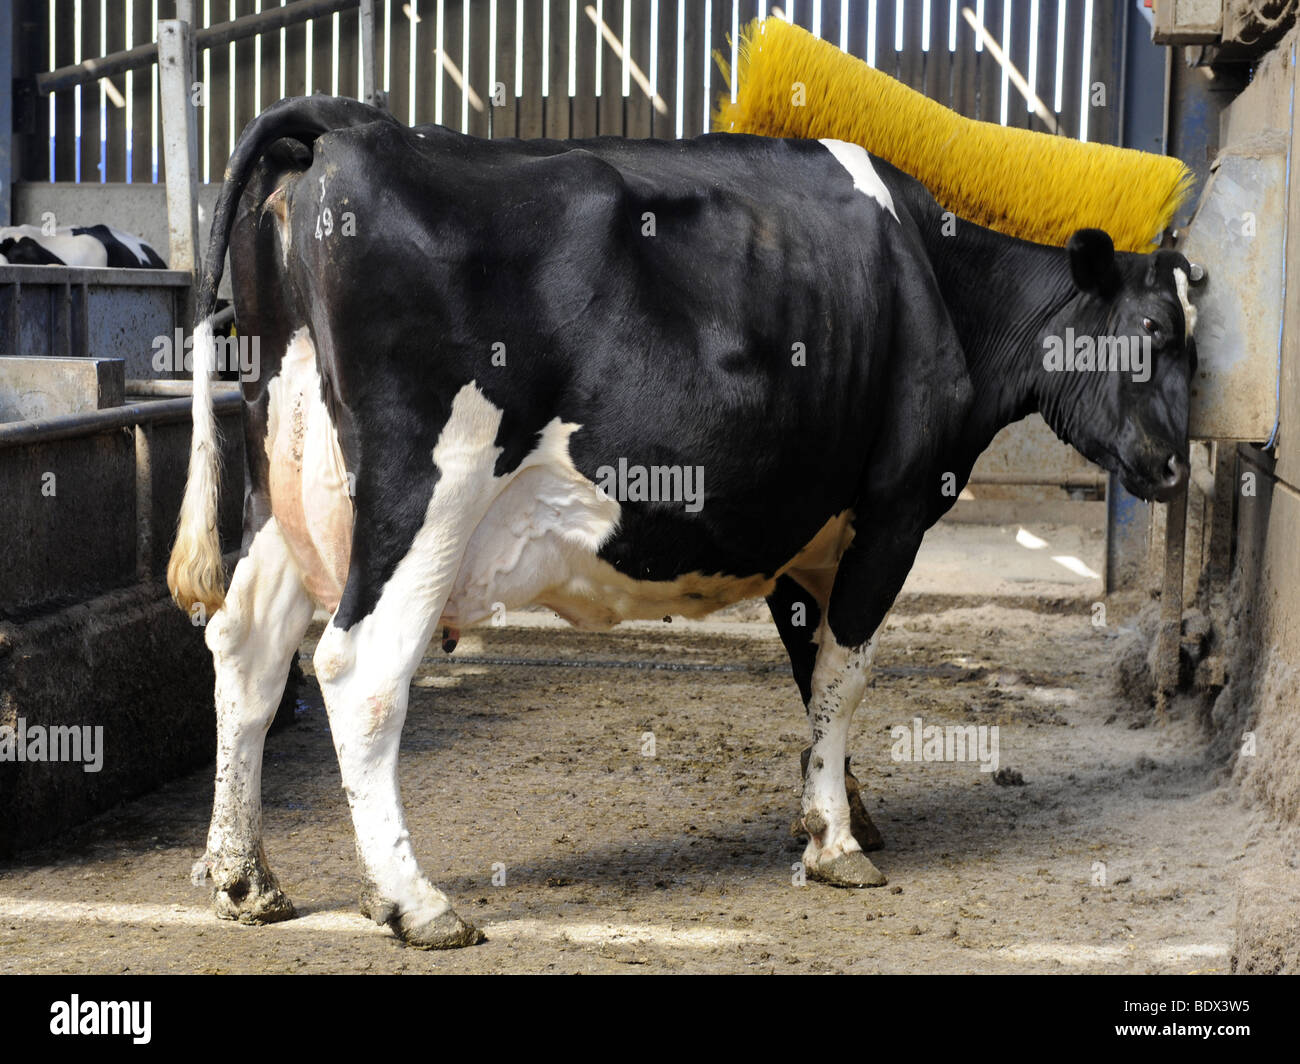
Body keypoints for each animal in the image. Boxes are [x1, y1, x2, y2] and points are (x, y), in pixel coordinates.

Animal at [168, 96, 1198, 949]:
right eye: (1154, 332)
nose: (1176, 465)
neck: (939, 278)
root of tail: (347, 126)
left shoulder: (801, 533)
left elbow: (814, 678)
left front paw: (838, 810)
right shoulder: (893, 510)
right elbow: (847, 674)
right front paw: (837, 842)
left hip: (280, 476)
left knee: (247, 648)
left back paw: (243, 877)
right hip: (427, 493)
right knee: (360, 668)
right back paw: (415, 903)